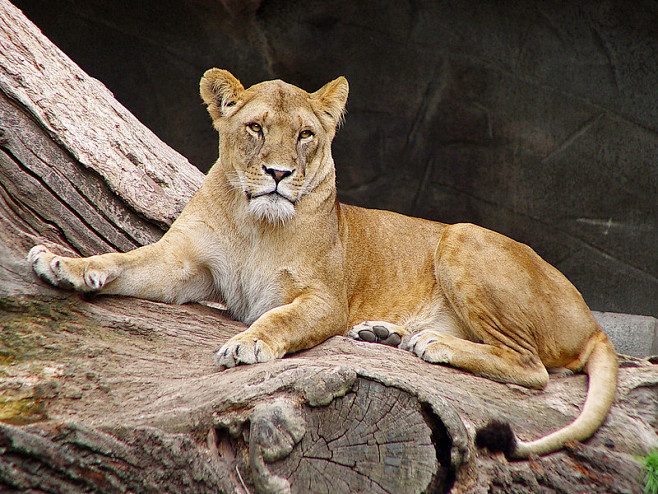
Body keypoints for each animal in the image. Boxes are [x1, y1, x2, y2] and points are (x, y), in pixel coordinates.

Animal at [28, 69, 618, 459]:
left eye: (305, 135)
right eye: (256, 128)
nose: (278, 173)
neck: (255, 224)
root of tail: (594, 323)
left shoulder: (325, 299)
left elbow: (280, 317)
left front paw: (247, 343)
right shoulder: (182, 264)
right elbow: (122, 259)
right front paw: (62, 264)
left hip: (462, 236)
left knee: (532, 367)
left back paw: (432, 343)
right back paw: (386, 333)